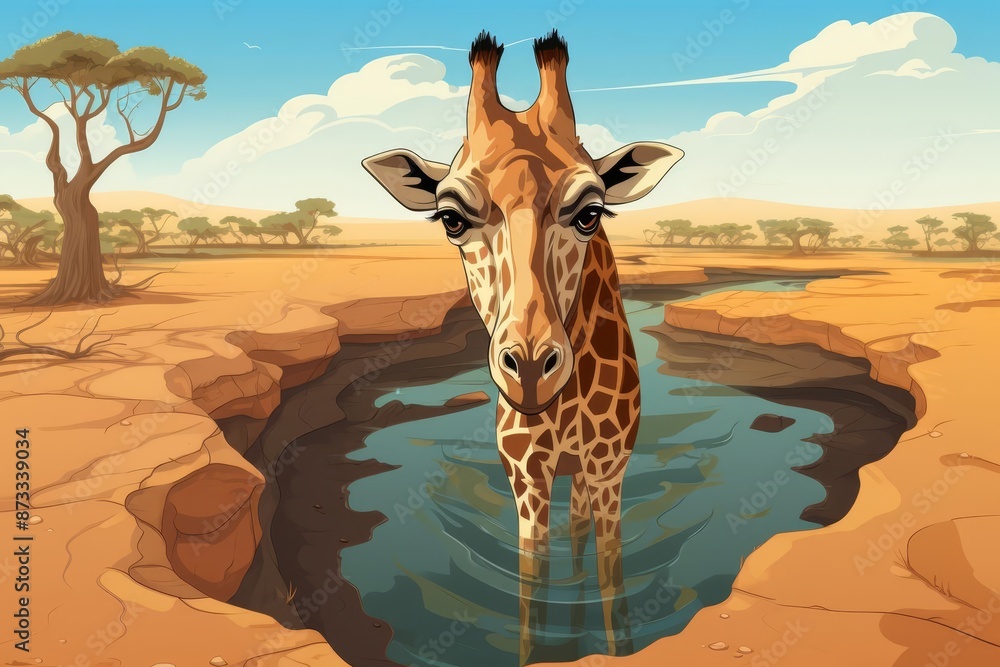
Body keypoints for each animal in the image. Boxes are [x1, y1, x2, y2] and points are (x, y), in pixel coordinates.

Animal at [363, 30, 683, 662]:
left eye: (590, 212)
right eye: (451, 218)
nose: (531, 370)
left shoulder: (608, 469)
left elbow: (613, 584)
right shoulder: (525, 474)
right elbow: (530, 591)